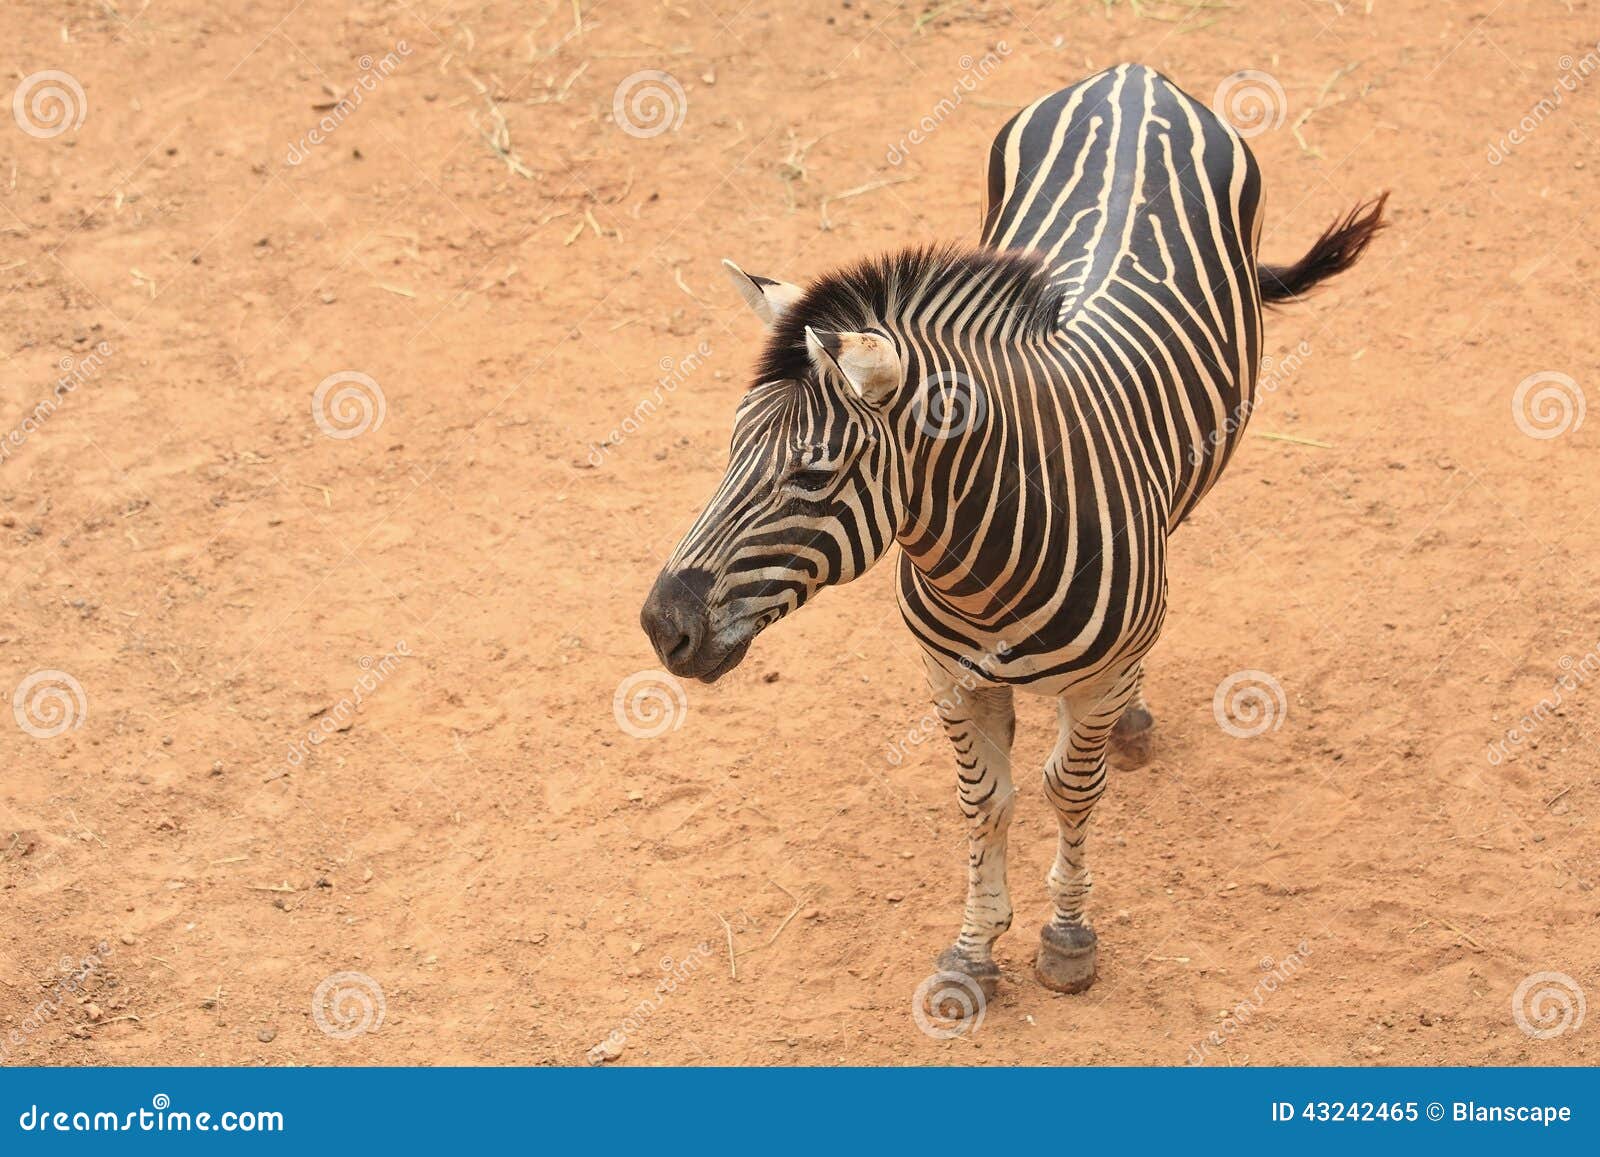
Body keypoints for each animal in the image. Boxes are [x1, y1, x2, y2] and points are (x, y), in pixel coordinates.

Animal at [639, 63, 1384, 1001]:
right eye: (731, 446)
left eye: (812, 475)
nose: (661, 626)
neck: (980, 565)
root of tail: (1134, 76)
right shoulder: (950, 676)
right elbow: (984, 800)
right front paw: (972, 952)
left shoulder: (1090, 678)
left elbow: (1071, 788)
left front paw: (1066, 937)